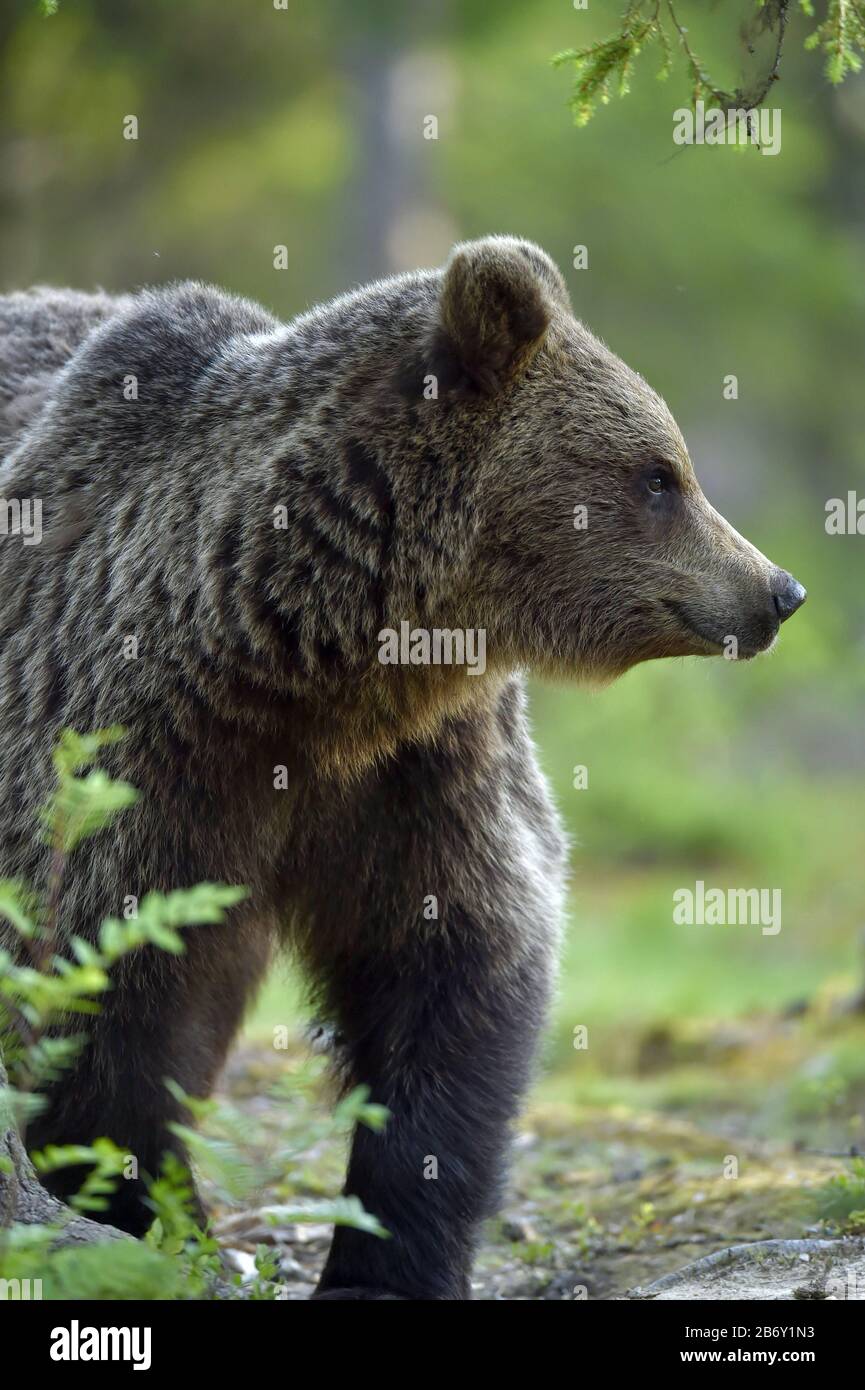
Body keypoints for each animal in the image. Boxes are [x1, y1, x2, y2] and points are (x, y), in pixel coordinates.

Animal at [0, 237, 806, 1299]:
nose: (777, 590)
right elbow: (104, 993)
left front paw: (390, 1257)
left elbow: (459, 958)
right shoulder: (120, 759)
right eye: (658, 476)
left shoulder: (423, 766)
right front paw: (149, 1217)